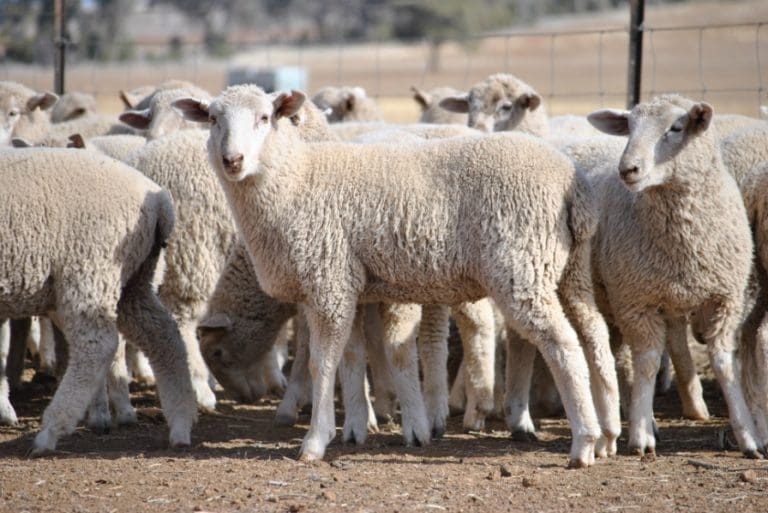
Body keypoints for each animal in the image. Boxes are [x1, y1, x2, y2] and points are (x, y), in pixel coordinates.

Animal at [0, 147, 197, 453]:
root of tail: (160, 200)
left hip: (90, 268)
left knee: (97, 345)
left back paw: (51, 430)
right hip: (137, 278)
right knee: (165, 338)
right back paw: (180, 423)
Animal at [174, 85, 620, 467]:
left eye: (265, 117)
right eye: (212, 119)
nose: (233, 161)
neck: (295, 180)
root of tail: (573, 184)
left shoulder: (328, 283)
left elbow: (323, 364)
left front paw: (316, 440)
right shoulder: (350, 288)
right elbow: (352, 358)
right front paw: (355, 427)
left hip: (521, 269)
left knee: (563, 345)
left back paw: (582, 444)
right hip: (569, 269)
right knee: (594, 335)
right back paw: (609, 435)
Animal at [587, 94, 763, 458]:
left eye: (677, 127)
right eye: (629, 126)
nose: (628, 169)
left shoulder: (726, 299)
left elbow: (725, 364)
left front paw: (749, 436)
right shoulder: (635, 301)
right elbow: (647, 363)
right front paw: (641, 436)